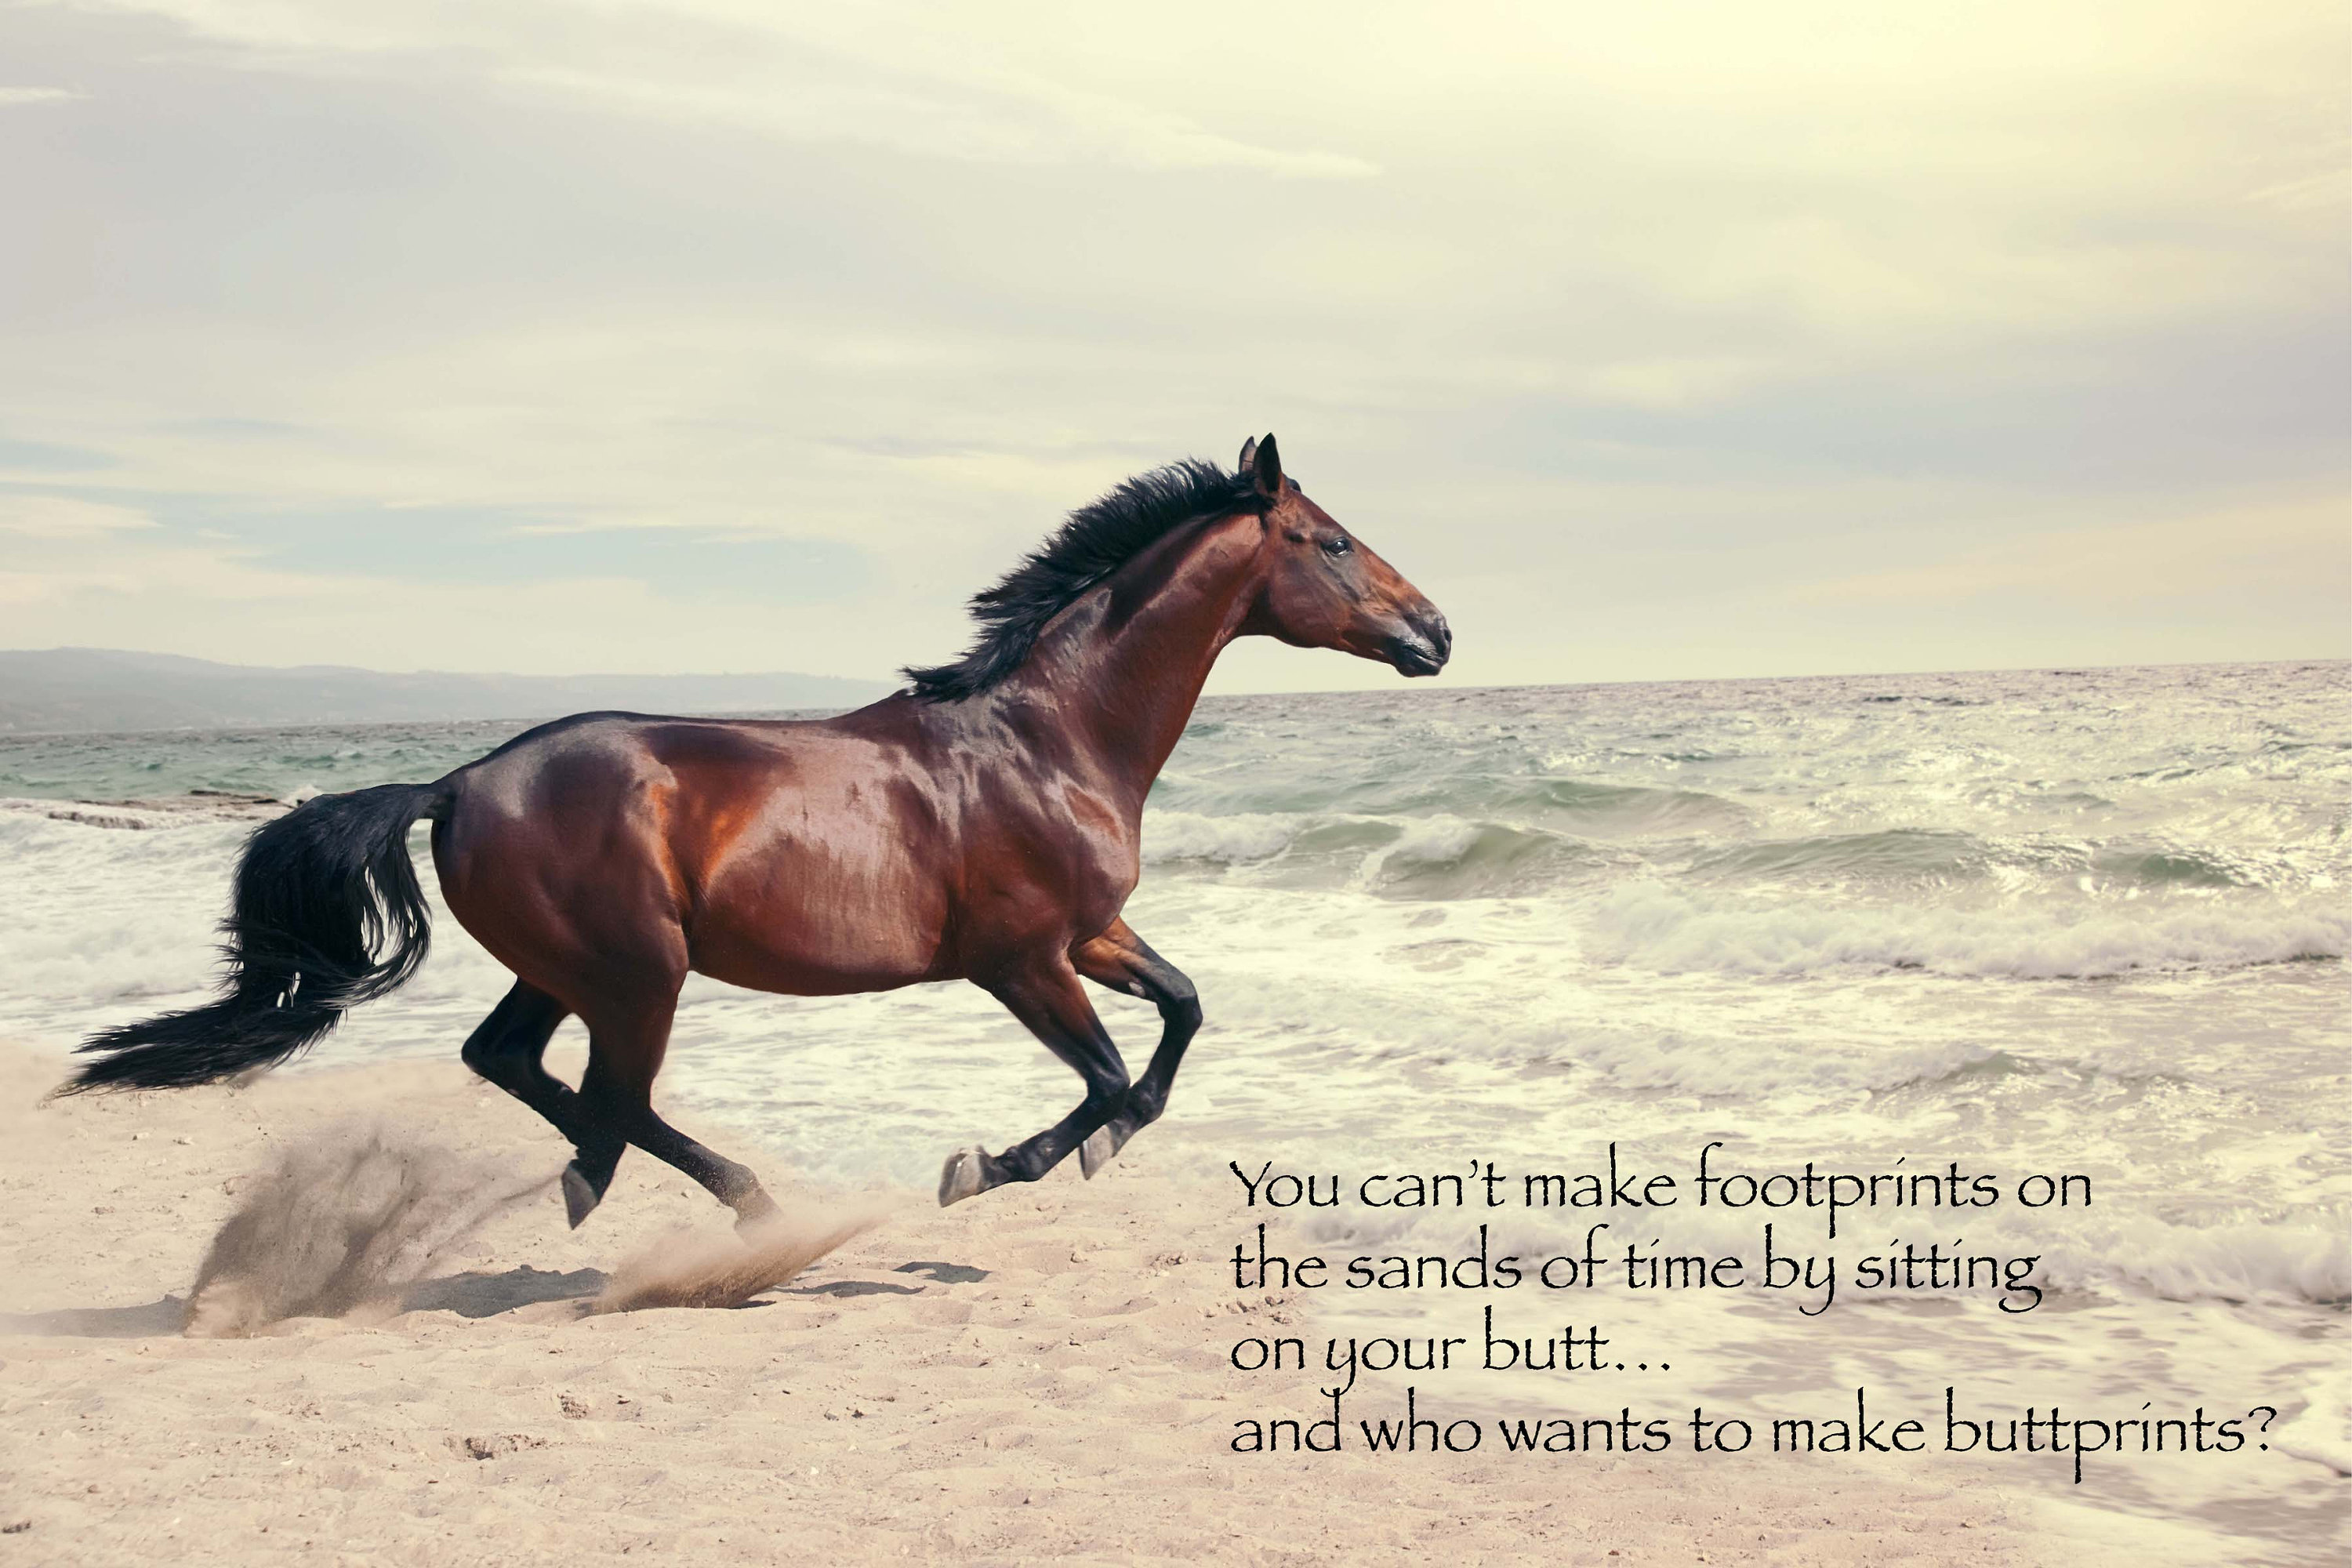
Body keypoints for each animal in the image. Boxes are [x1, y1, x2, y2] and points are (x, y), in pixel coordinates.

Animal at [60, 435, 1451, 1228]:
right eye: (1332, 542)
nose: (1436, 633)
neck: (1048, 738)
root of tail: (458, 781)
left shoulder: (1092, 933)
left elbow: (1181, 1018)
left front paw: (1089, 1151)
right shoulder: (1020, 960)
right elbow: (1110, 1075)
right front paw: (988, 1168)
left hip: (571, 968)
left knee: (522, 1066)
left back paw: (657, 1189)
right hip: (639, 971)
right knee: (607, 1093)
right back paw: (705, 1201)